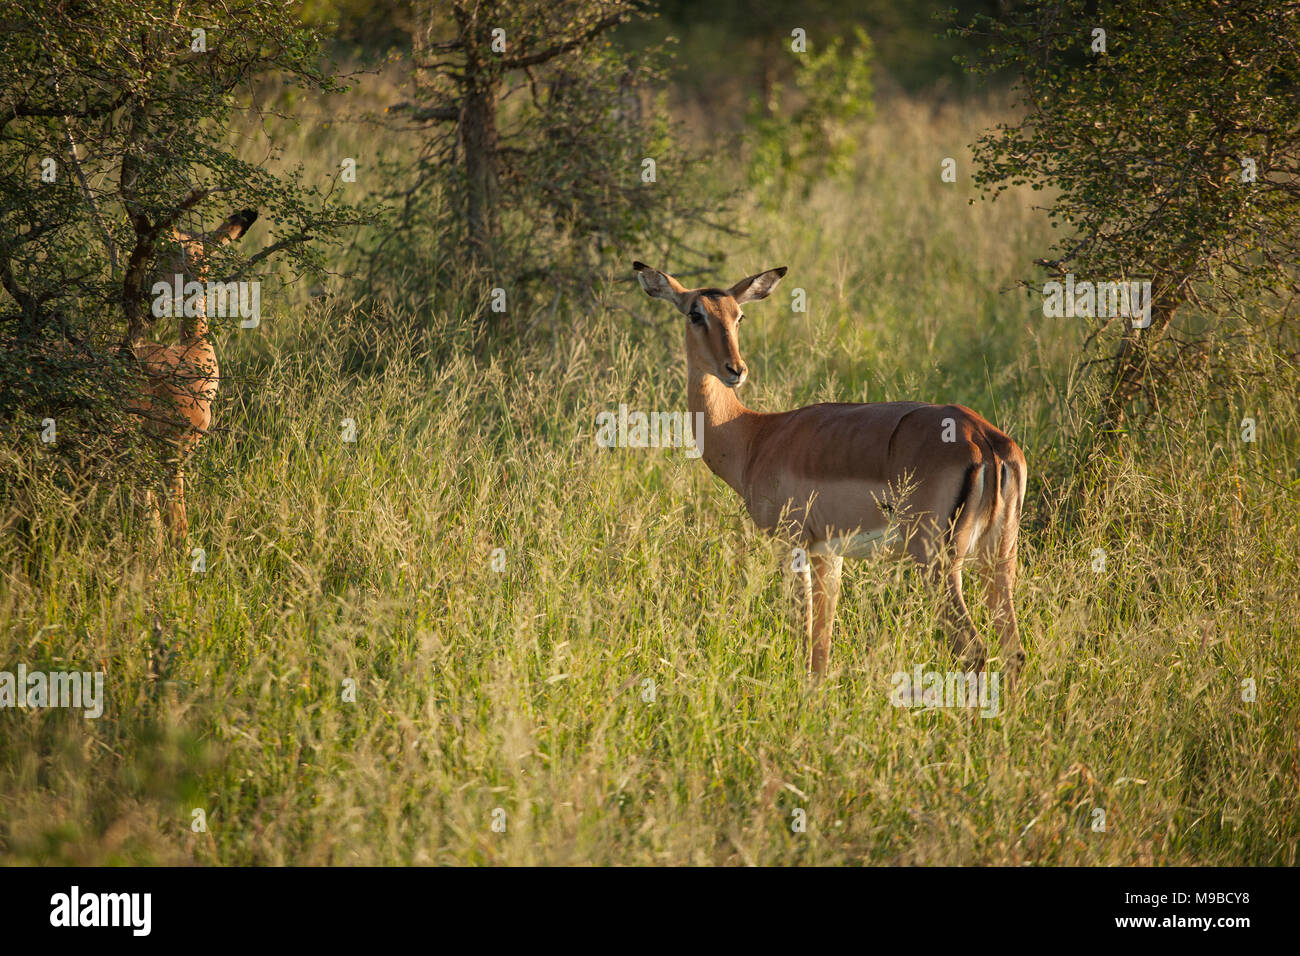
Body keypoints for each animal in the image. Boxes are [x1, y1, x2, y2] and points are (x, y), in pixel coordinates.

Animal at [632, 261, 1027, 681]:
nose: (735, 369)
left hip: (938, 565)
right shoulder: (829, 554)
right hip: (998, 559)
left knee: (974, 650)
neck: (756, 436)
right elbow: (822, 650)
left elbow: (804, 636)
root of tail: (984, 440)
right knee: (1014, 652)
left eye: (738, 315)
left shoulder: (792, 544)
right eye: (697, 313)